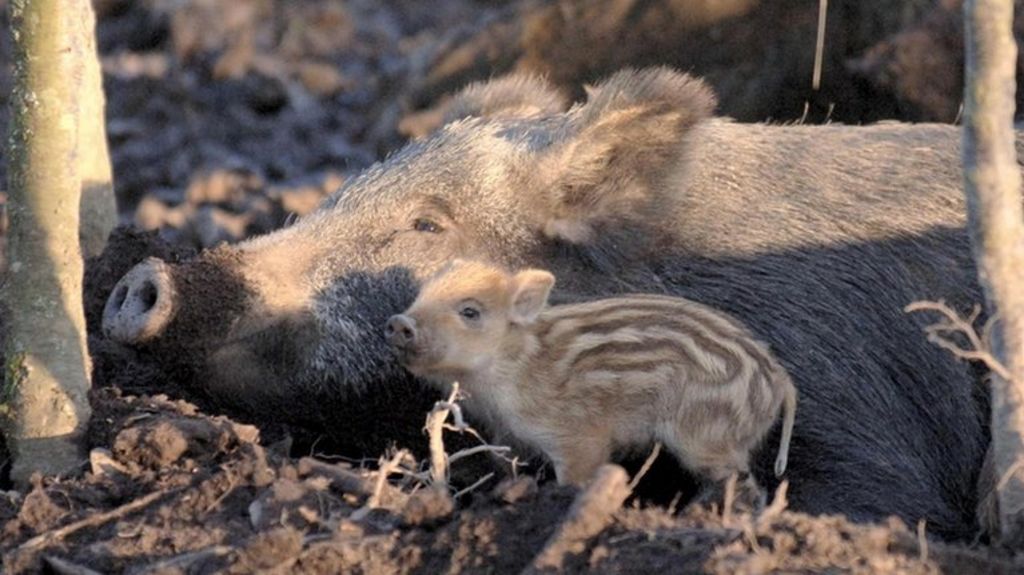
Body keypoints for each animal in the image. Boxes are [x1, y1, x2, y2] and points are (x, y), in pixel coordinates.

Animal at [385, 260, 798, 503]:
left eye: (470, 312)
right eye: (422, 295)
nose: (399, 322)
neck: (516, 364)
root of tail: (778, 379)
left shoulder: (578, 437)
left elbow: (576, 477)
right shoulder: (509, 437)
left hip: (707, 437)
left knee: (743, 486)